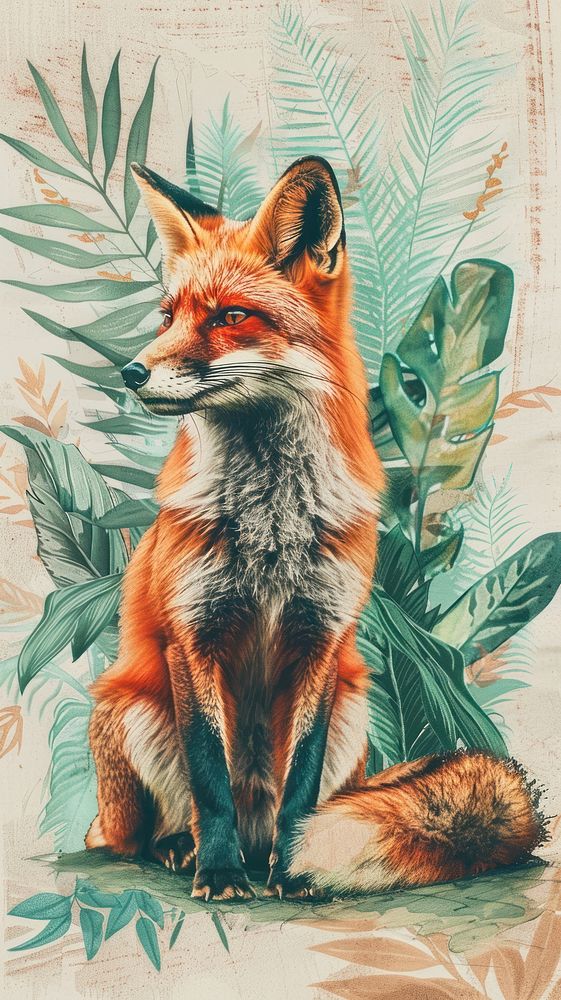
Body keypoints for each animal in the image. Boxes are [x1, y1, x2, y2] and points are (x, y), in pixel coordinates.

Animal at [85, 155, 545, 900]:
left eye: (230, 317)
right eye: (168, 316)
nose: (130, 372)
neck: (270, 527)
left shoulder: (321, 639)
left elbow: (300, 781)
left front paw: (294, 870)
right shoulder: (193, 634)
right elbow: (209, 778)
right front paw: (219, 873)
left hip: (355, 711)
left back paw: (265, 856)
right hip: (131, 709)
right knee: (144, 833)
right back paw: (187, 849)